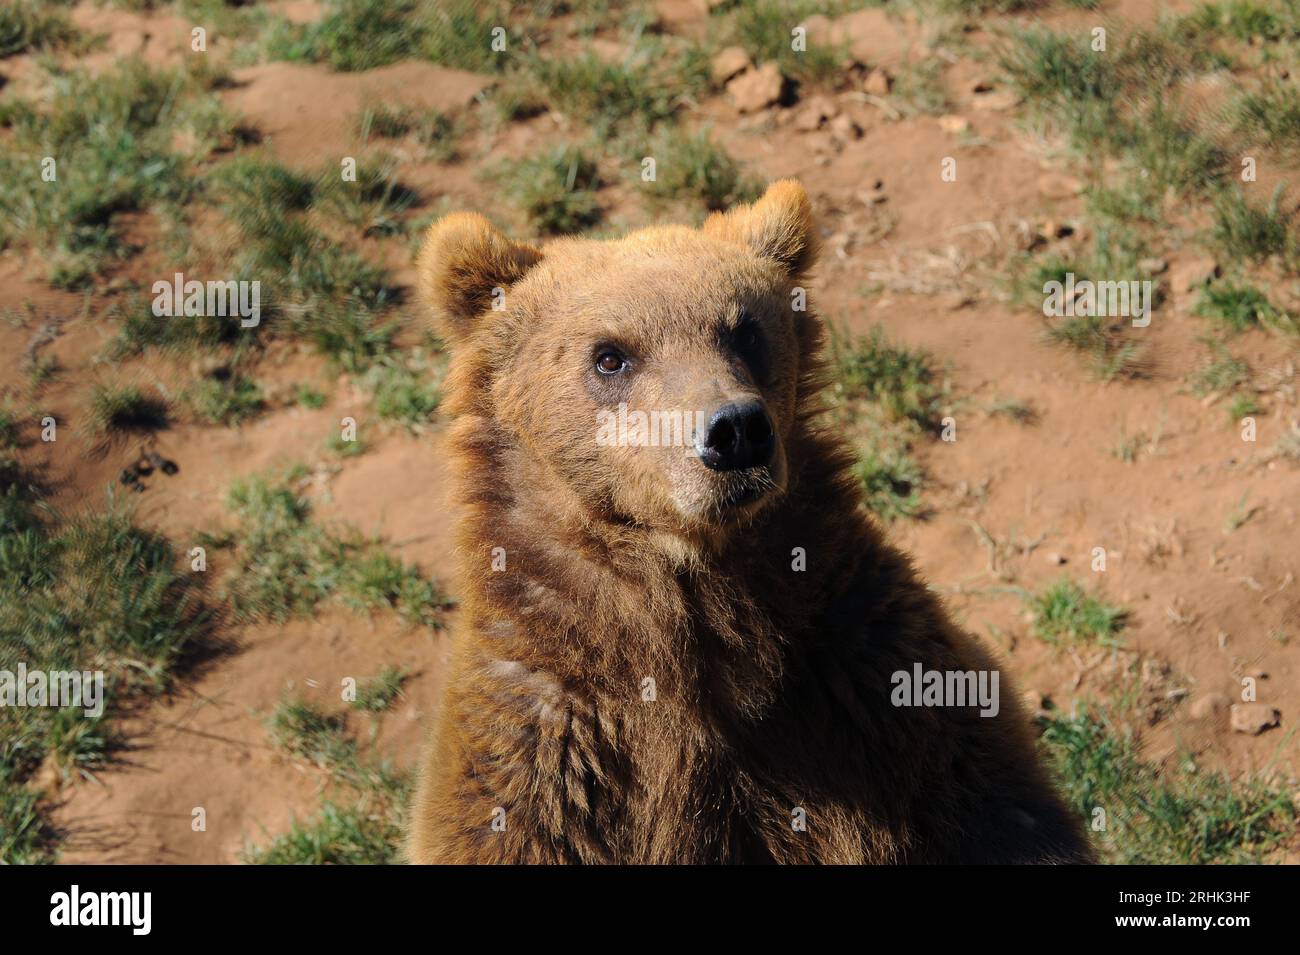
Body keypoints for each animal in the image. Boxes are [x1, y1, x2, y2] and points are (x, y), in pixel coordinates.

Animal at [409, 181, 1094, 864]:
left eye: (744, 330)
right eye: (610, 356)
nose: (736, 431)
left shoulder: (873, 683)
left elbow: (999, 809)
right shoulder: (548, 750)